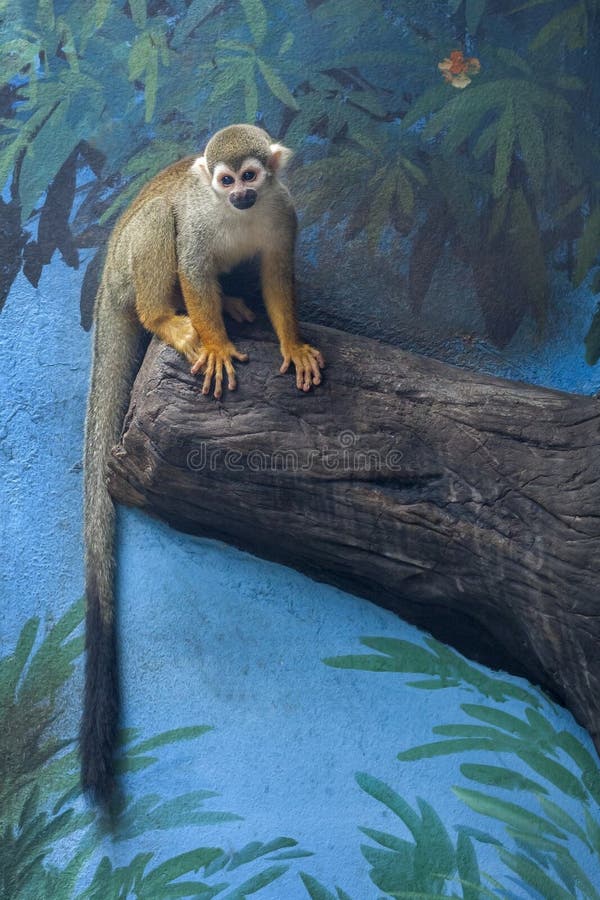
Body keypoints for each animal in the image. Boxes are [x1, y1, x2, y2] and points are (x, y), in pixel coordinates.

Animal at [81, 124, 325, 803]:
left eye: (251, 177)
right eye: (225, 181)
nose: (239, 195)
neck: (237, 214)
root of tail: (105, 275)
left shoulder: (284, 211)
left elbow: (276, 271)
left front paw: (291, 342)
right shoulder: (198, 220)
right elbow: (188, 256)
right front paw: (213, 344)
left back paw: (234, 309)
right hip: (129, 266)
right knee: (160, 225)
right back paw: (168, 320)